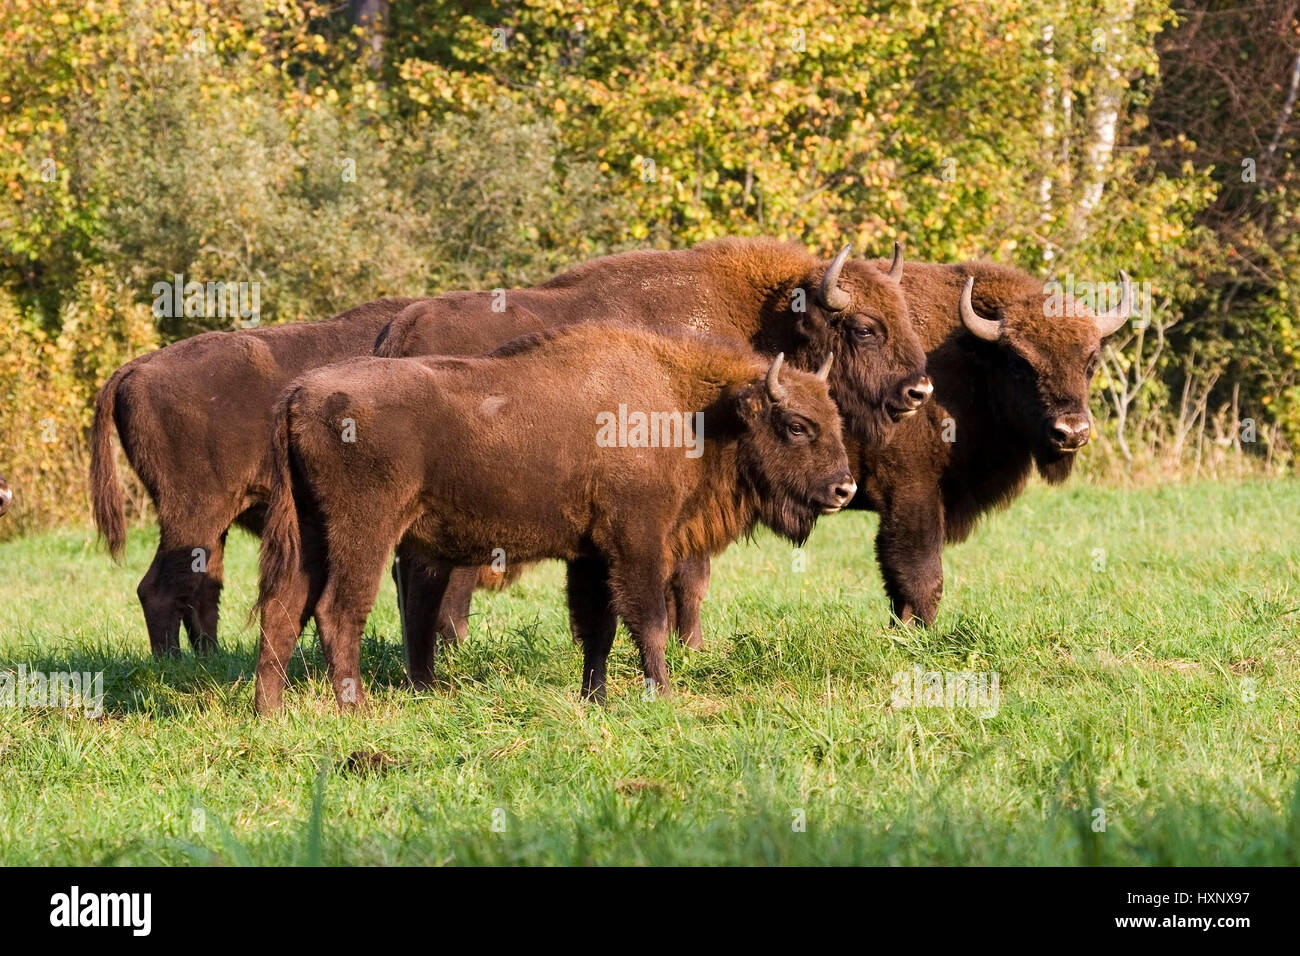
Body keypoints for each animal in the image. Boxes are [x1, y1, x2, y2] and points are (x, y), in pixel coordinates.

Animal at [90, 298, 417, 656]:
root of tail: (135, 368)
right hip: (192, 513)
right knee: (160, 588)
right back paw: (173, 662)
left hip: (213, 523)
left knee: (202, 587)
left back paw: (210, 657)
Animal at [252, 325, 854, 713]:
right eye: (796, 425)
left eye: (835, 418)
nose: (843, 489)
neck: (690, 408)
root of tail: (297, 395)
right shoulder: (637, 542)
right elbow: (649, 620)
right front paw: (661, 695)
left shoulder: (591, 554)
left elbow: (597, 628)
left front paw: (596, 698)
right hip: (365, 531)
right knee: (338, 611)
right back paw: (355, 710)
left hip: (310, 532)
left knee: (282, 611)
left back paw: (271, 714)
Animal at [373, 237, 933, 674]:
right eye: (864, 327)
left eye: (905, 316)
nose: (918, 390)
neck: (758, 316)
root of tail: (397, 333)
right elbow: (688, 578)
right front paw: (693, 647)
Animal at [661, 260, 1134, 636]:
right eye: (1020, 363)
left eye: (1091, 361)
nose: (1071, 431)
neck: (970, 359)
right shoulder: (912, 492)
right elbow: (920, 572)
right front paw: (918, 634)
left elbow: (897, 578)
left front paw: (899, 629)